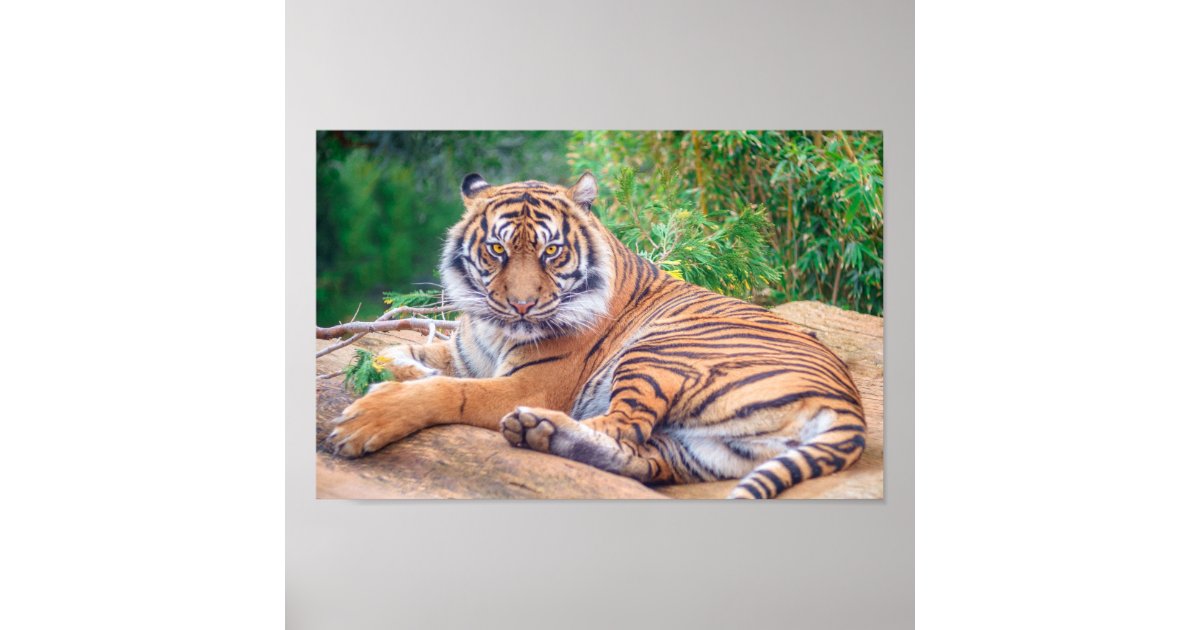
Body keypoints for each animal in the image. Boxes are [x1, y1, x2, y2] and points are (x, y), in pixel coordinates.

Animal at [324, 172, 866, 499]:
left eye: (552, 251)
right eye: (498, 249)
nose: (521, 305)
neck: (494, 328)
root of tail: (850, 406)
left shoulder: (530, 384)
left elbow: (449, 392)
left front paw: (366, 417)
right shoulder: (464, 354)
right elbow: (408, 350)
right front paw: (395, 366)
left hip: (659, 353)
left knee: (623, 424)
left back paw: (536, 425)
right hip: (706, 450)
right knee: (640, 457)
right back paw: (541, 434)